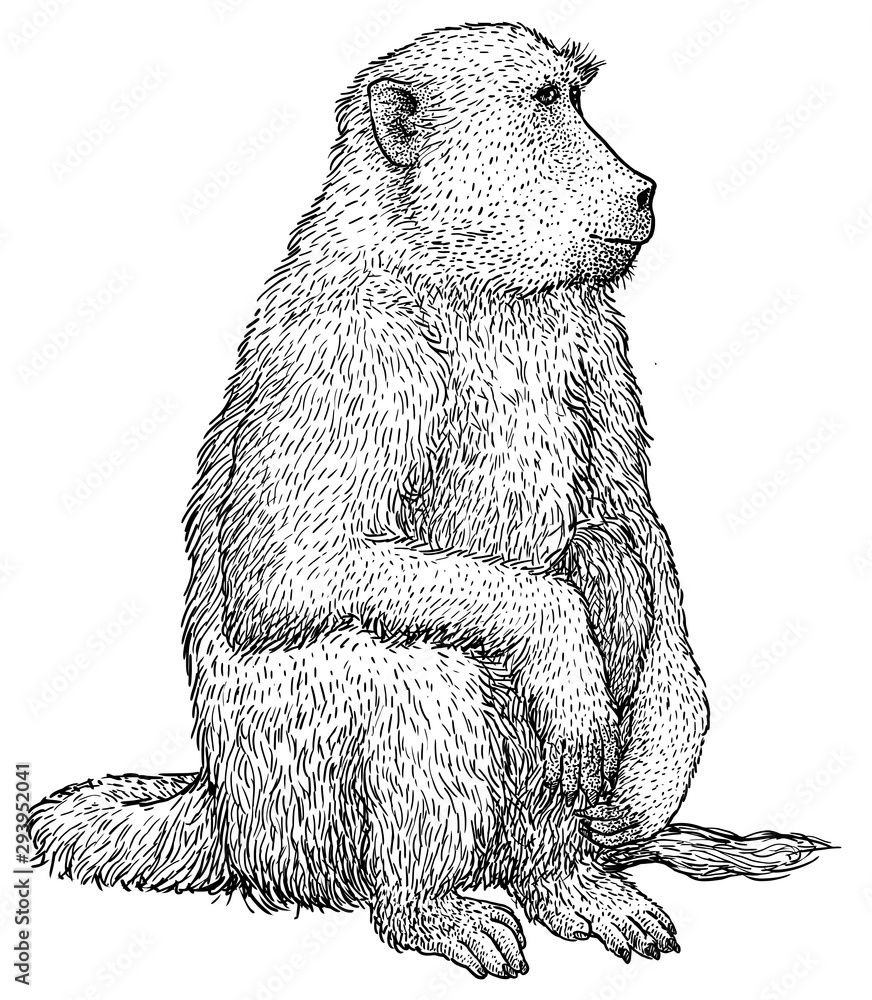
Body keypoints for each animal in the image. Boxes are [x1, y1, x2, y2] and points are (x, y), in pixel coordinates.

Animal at [30, 22, 828, 980]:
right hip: (289, 804)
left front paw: (658, 761)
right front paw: (562, 657)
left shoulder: (594, 329)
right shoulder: (348, 348)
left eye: (573, 96)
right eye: (545, 105)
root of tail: (217, 806)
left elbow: (631, 517)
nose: (641, 189)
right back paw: (432, 907)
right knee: (419, 670)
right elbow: (289, 569)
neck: (465, 279)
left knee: (607, 560)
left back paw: (568, 881)